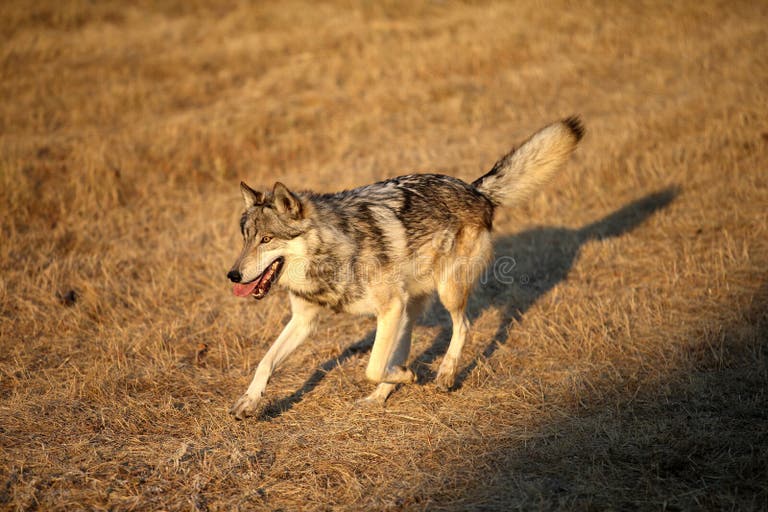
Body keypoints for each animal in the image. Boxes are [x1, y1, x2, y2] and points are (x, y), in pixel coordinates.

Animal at [226, 117, 584, 419]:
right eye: (246, 239)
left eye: (267, 239)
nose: (233, 276)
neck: (333, 253)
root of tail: (475, 189)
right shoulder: (305, 320)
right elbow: (266, 362)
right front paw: (249, 401)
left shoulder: (388, 307)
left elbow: (372, 366)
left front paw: (409, 375)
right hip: (409, 309)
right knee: (405, 350)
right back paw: (379, 397)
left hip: (444, 293)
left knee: (463, 326)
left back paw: (443, 375)